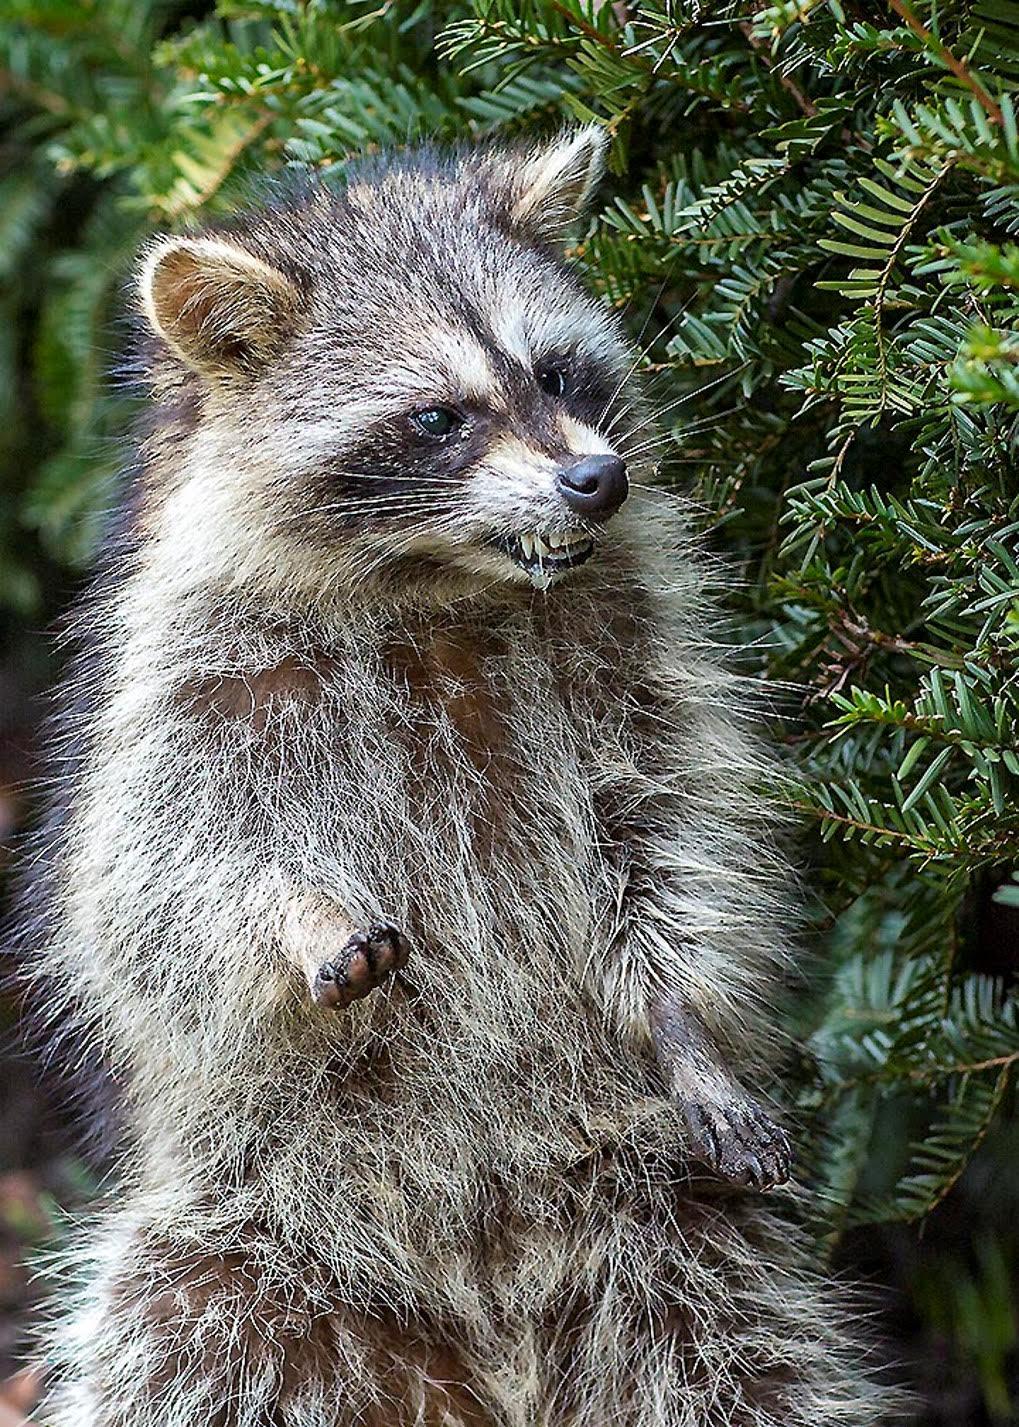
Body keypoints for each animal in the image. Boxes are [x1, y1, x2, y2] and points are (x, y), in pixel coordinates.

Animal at [19, 127, 899, 1425]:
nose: (597, 480)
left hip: (671, 1233)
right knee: (176, 1350)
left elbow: (668, 837)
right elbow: (158, 893)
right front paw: (297, 917)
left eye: (561, 374)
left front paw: (682, 1025)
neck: (440, 583)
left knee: (740, 1364)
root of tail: (485, 1338)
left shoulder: (634, 665)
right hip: (242, 1254)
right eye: (437, 416)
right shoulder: (184, 690)